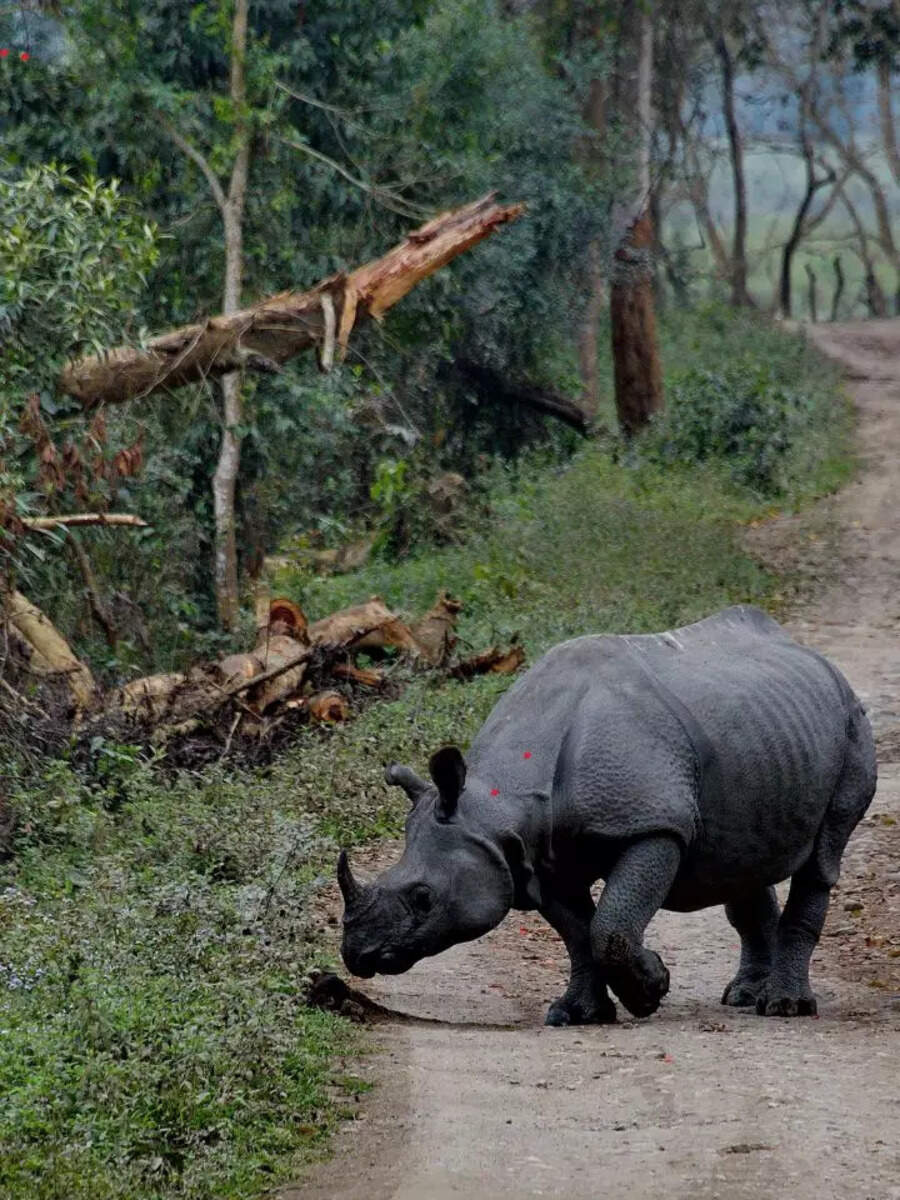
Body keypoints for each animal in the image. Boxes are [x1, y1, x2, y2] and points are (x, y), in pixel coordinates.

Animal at [338, 607, 876, 1022]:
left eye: (423, 897)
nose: (356, 955)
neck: (499, 802)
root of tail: (813, 655)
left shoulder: (653, 826)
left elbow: (610, 926)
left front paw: (651, 990)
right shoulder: (536, 855)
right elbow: (578, 934)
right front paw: (579, 1014)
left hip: (852, 722)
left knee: (822, 857)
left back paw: (783, 1007)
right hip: (765, 734)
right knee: (740, 861)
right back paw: (744, 997)